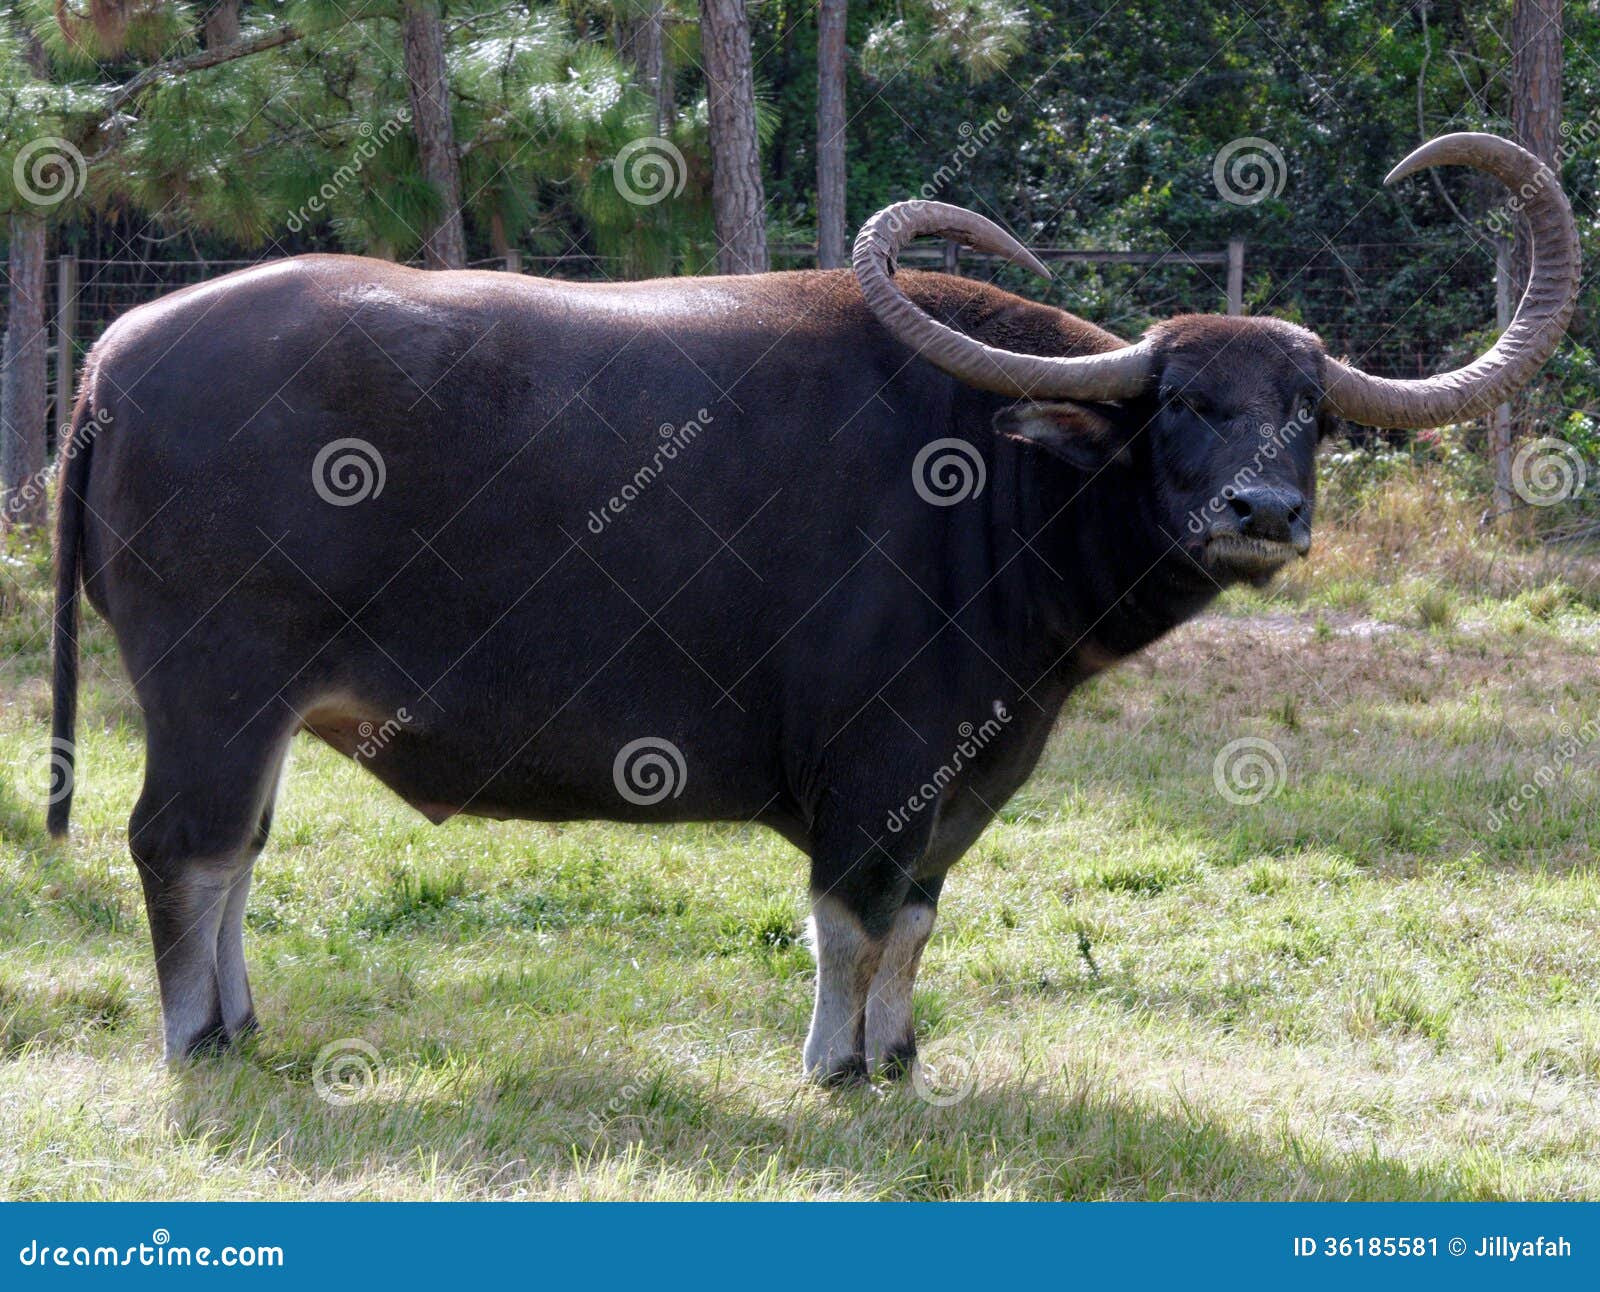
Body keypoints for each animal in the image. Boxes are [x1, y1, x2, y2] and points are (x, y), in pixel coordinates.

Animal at [47, 133, 1576, 1083]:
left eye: (1308, 410)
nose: (1263, 513)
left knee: (236, 853)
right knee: (181, 847)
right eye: (1189, 404)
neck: (997, 481)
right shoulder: (879, 765)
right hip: (212, 689)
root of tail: (113, 357)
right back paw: (195, 1039)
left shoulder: (969, 770)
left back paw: (243, 1025)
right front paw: (836, 1064)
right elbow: (854, 914)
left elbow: (917, 920)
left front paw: (897, 1056)